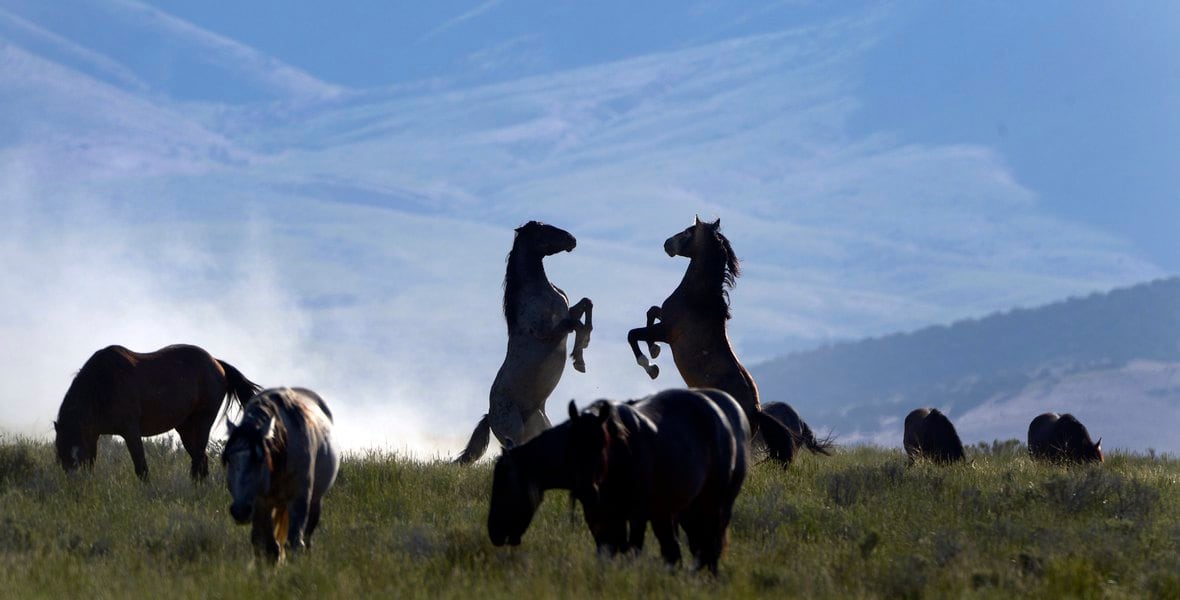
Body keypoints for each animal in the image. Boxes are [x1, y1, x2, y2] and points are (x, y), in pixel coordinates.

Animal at [53, 344, 260, 481]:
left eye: (73, 450)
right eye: (59, 450)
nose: (72, 482)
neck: (103, 385)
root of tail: (216, 363)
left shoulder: (130, 431)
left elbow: (141, 467)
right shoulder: (93, 435)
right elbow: (92, 463)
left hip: (203, 421)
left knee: (199, 458)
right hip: (186, 428)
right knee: (201, 459)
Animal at [222, 387, 339, 564]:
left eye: (260, 459)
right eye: (229, 459)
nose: (240, 511)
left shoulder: (299, 500)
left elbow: (295, 542)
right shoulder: (261, 504)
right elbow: (269, 547)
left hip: (315, 502)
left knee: (306, 538)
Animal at [456, 221, 593, 465]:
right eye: (545, 229)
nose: (572, 239)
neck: (539, 290)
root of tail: (490, 415)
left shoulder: (566, 311)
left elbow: (587, 304)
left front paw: (582, 356)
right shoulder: (547, 331)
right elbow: (576, 324)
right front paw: (579, 358)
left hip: (539, 428)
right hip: (514, 431)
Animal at [626, 216, 796, 466]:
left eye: (689, 231)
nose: (667, 244)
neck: (697, 297)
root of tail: (757, 412)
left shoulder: (666, 332)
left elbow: (633, 334)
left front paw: (650, 366)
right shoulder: (663, 320)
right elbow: (651, 312)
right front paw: (654, 351)